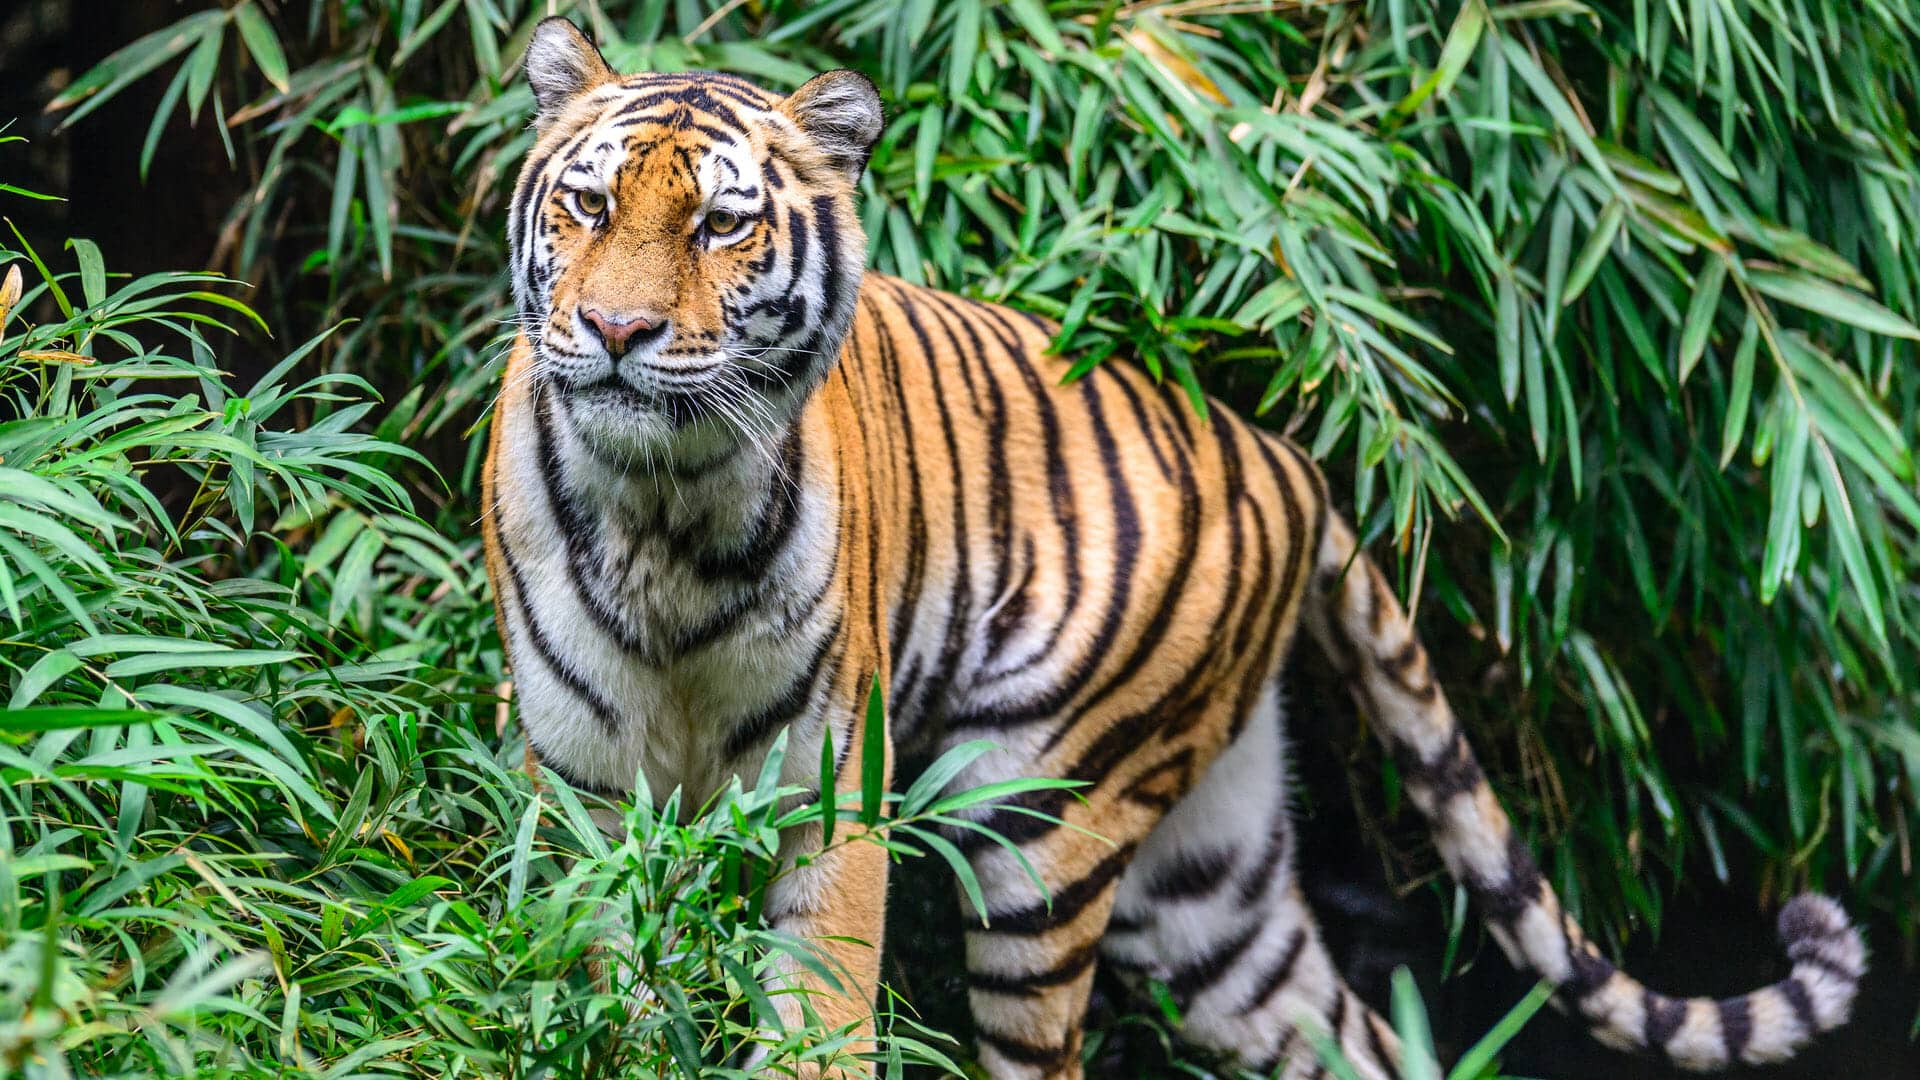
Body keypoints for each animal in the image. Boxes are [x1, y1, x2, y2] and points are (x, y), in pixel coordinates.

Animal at [479, 17, 1865, 1079]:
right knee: (1353, 1035)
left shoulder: (832, 801)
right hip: (1214, 899)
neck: (665, 509)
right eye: (589, 203)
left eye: (720, 226)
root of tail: (1290, 456)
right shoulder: (580, 793)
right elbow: (602, 985)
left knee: (1049, 1045)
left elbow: (816, 1025)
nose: (614, 330)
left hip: (1045, 826)